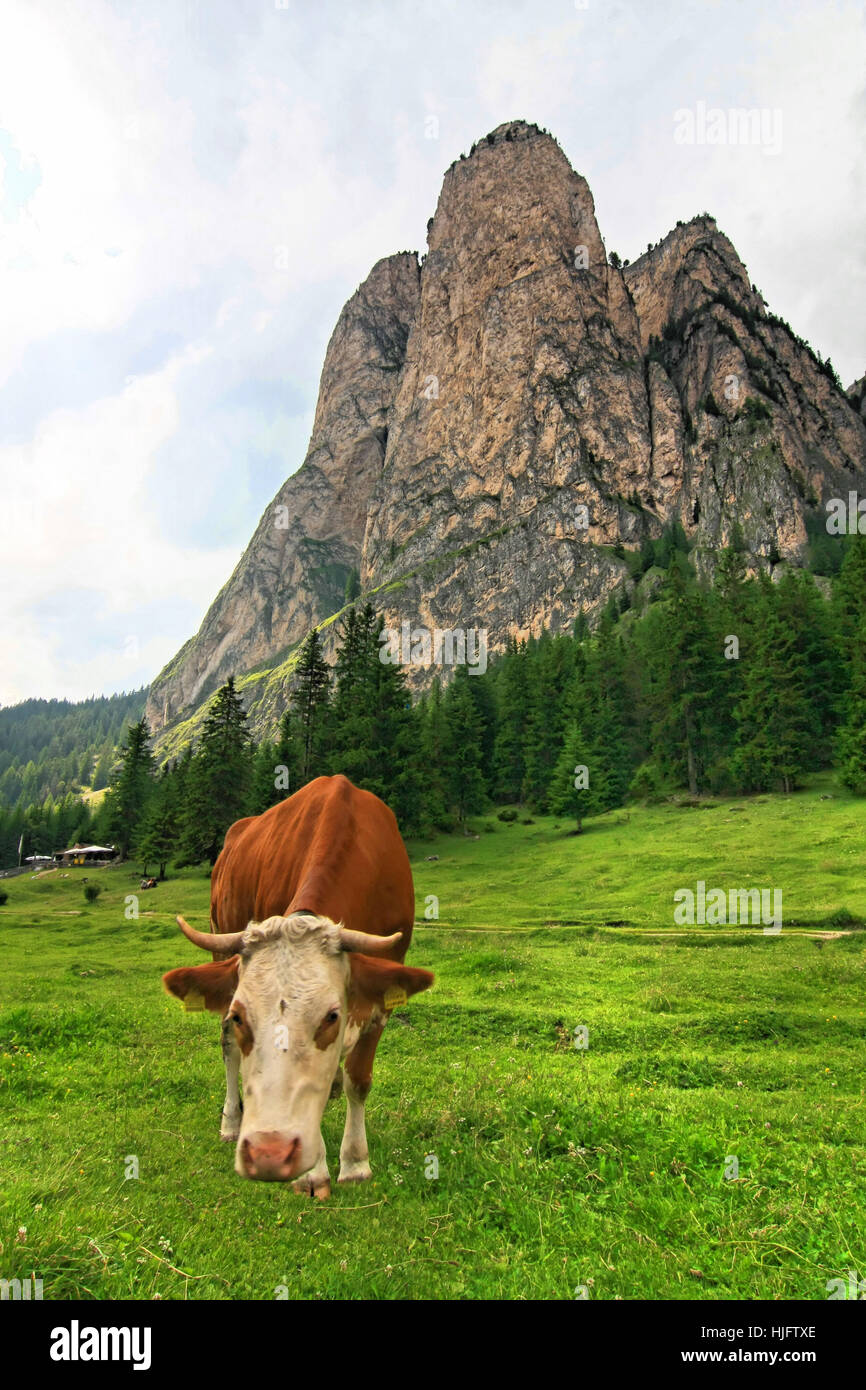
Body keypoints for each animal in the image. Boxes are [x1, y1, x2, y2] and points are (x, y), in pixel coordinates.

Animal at [162, 775, 434, 1197]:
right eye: (241, 1017)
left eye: (331, 1016)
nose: (268, 1153)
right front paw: (313, 1174)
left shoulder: (381, 997)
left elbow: (358, 1080)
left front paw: (355, 1162)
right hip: (219, 939)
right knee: (227, 1049)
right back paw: (231, 1120)